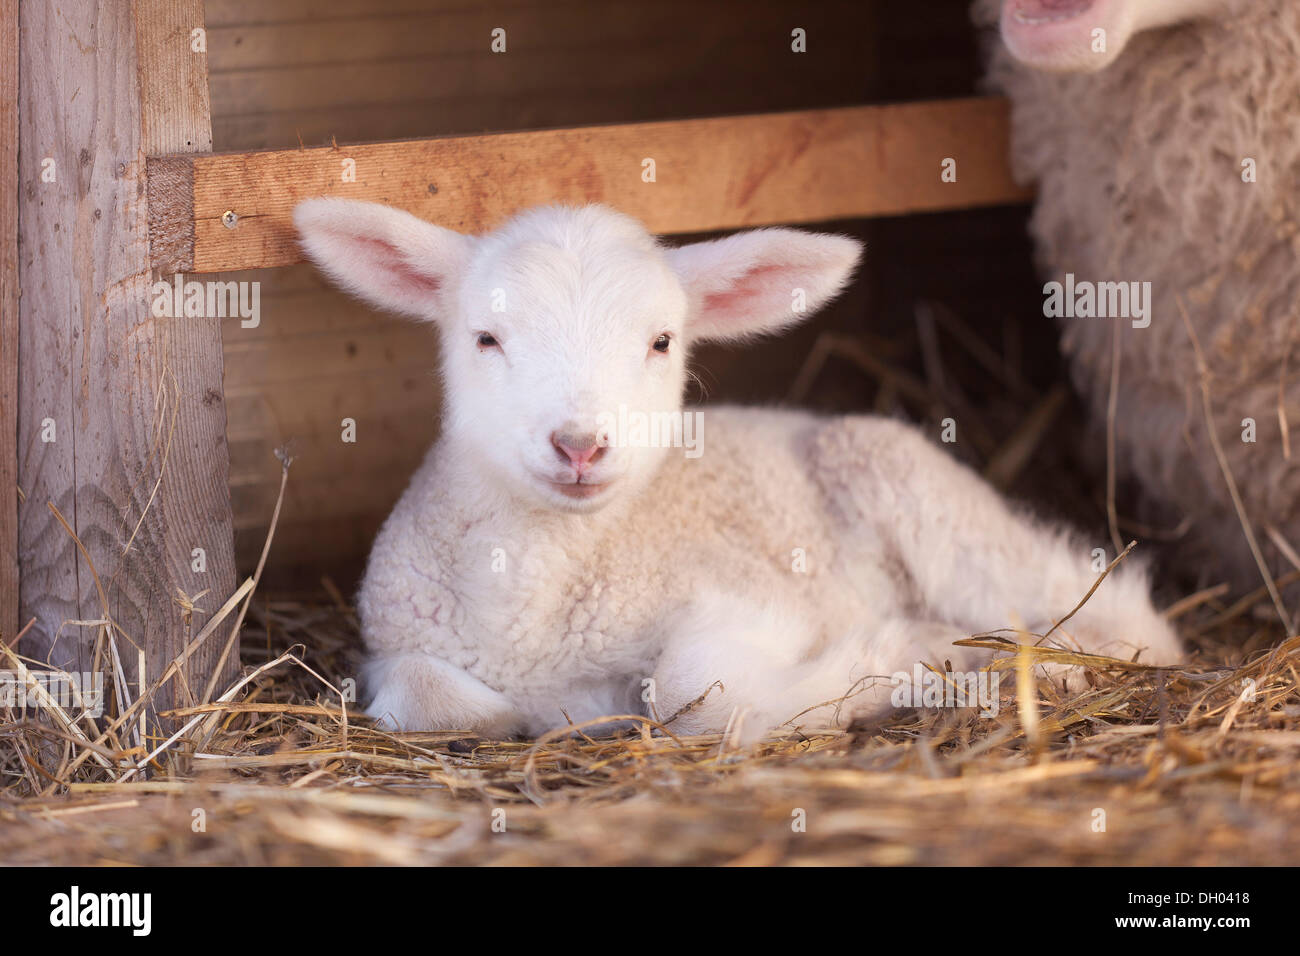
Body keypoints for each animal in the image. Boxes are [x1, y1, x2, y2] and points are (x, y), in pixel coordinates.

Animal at [294, 198, 1181, 740]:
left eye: (660, 342)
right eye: (486, 338)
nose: (579, 446)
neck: (533, 614)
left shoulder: (754, 598)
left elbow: (696, 695)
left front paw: (886, 661)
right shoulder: (396, 636)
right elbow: (433, 700)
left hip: (919, 498)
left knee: (1116, 616)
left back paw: (1040, 664)